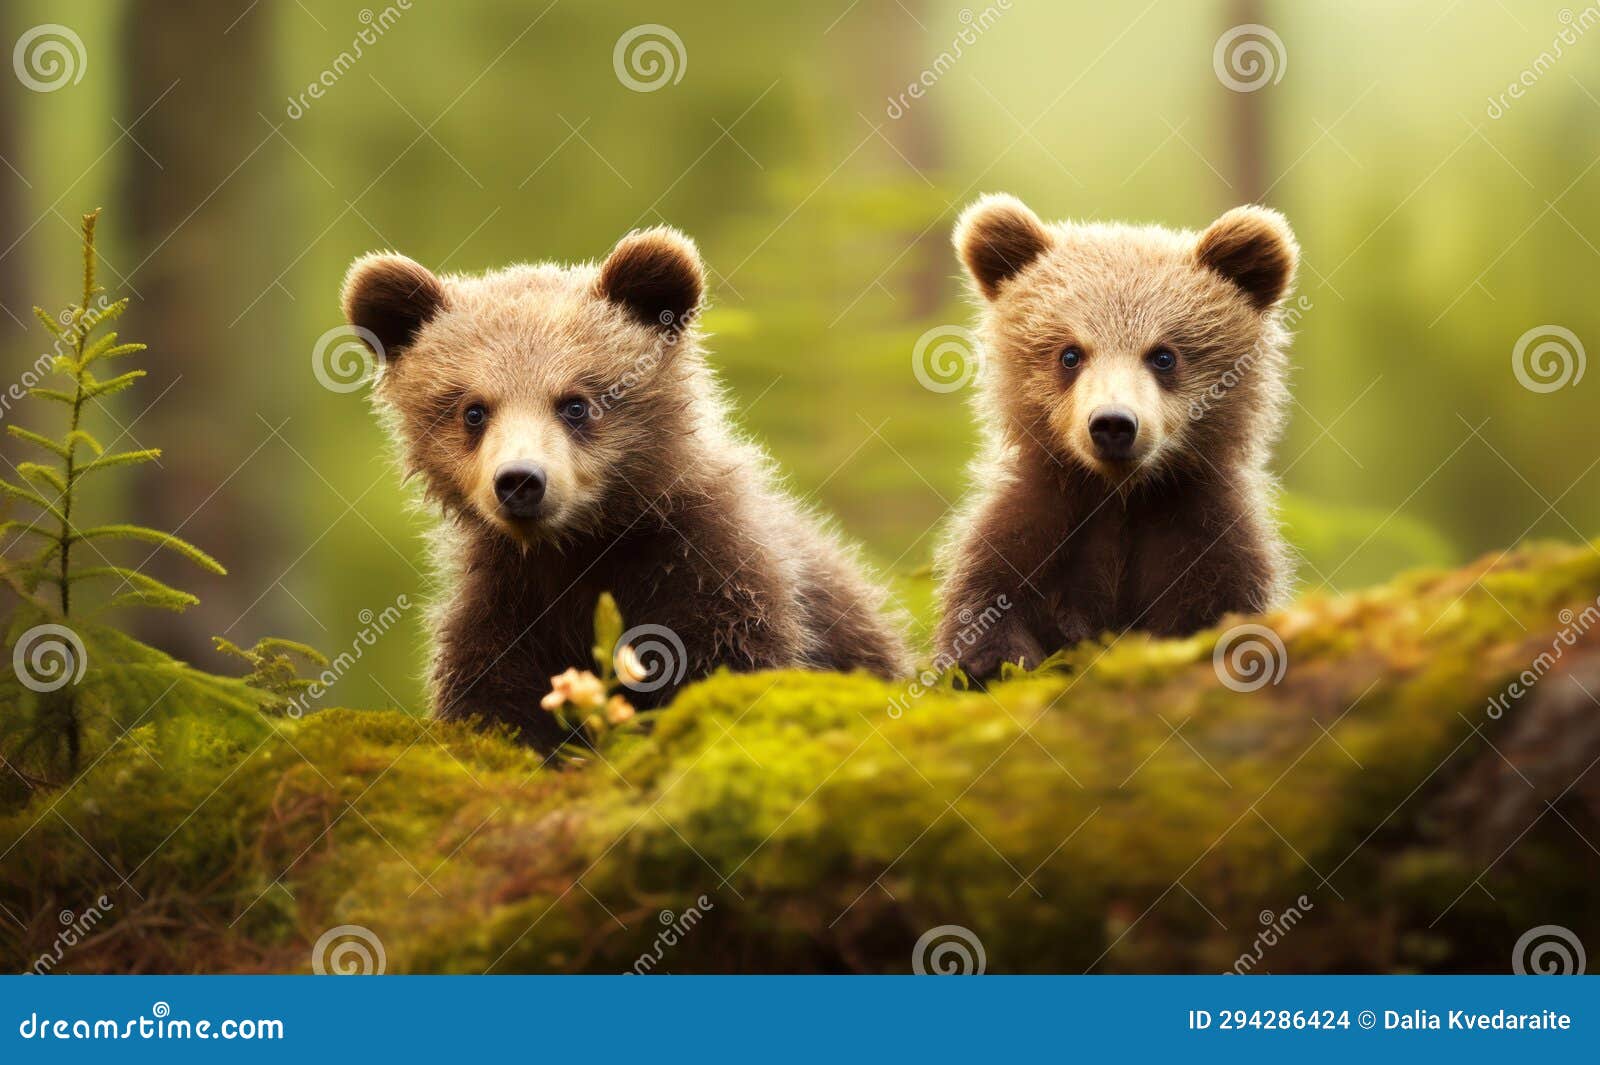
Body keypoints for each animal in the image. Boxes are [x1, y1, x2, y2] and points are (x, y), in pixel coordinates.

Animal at [341, 227, 911, 748]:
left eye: (575, 403)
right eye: (473, 411)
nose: (520, 480)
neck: (585, 547)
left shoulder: (715, 573)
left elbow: (727, 664)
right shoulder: (507, 603)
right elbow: (495, 701)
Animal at [933, 194, 1297, 679]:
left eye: (1163, 356)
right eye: (1070, 354)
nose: (1112, 423)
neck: (1121, 496)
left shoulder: (1205, 537)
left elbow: (1218, 610)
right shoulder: (1037, 528)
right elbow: (988, 612)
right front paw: (991, 662)